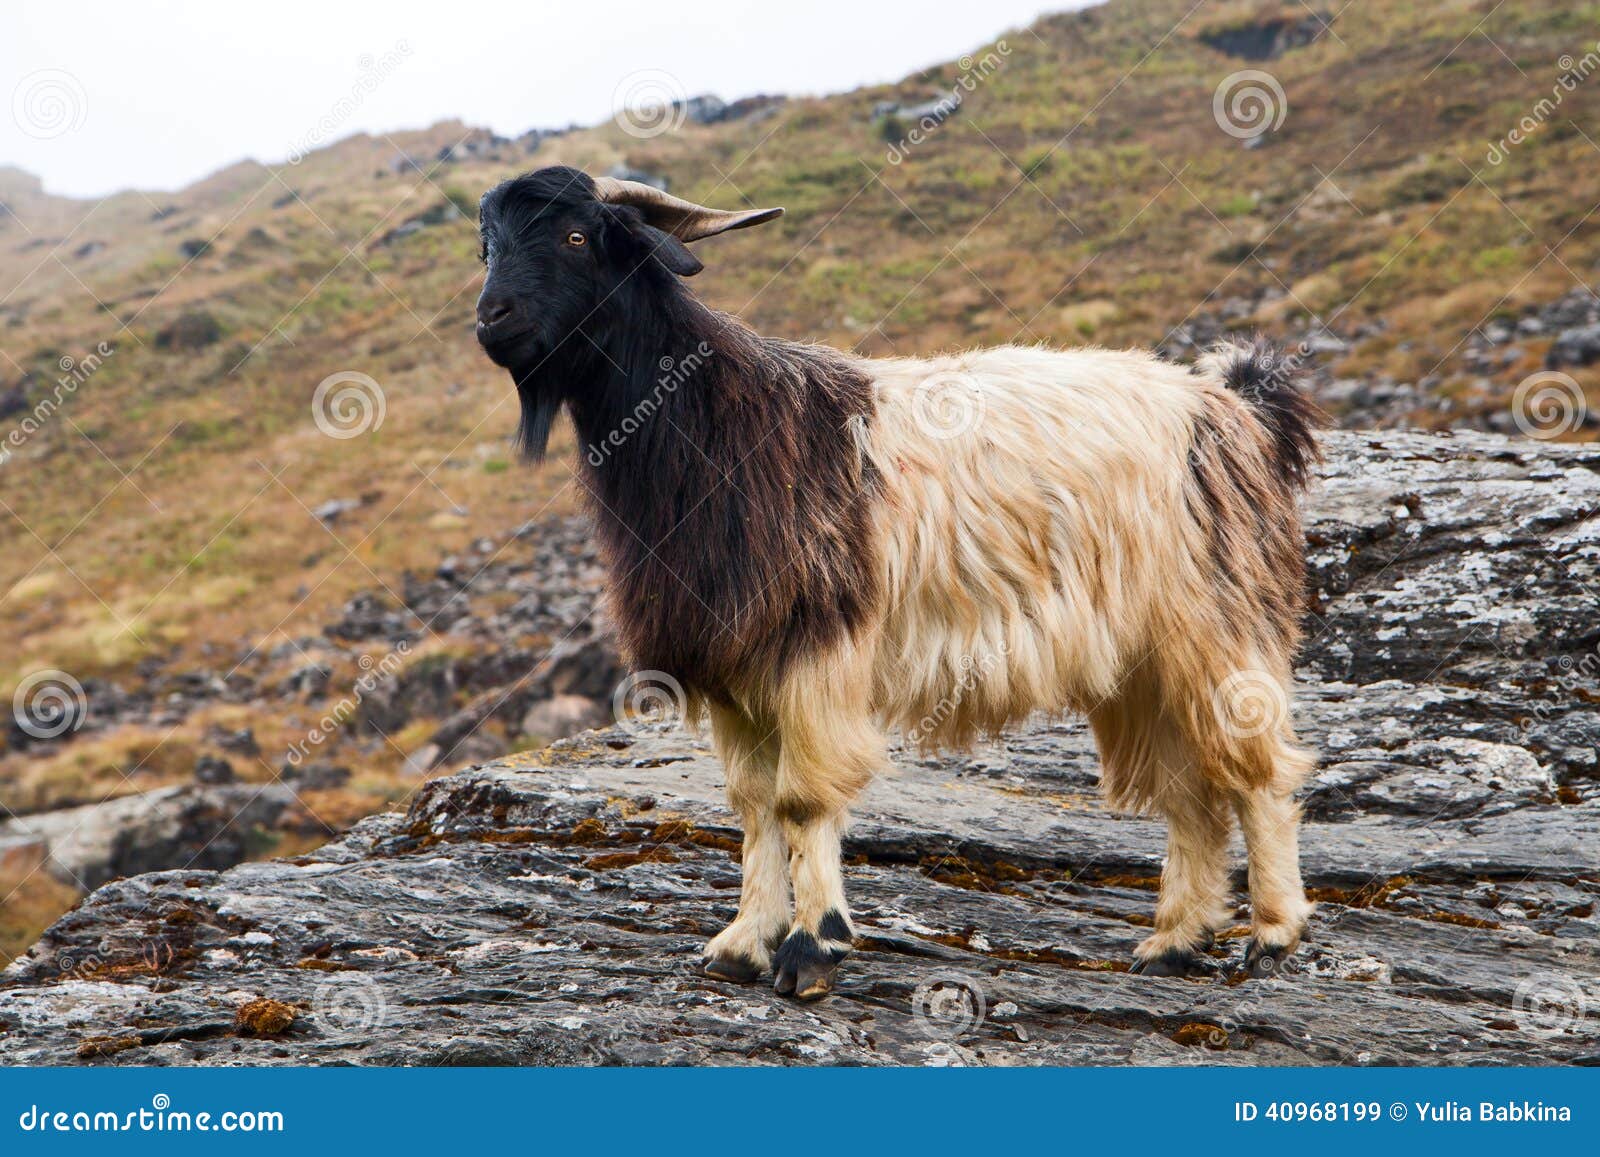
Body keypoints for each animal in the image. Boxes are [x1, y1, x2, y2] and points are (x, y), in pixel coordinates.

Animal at [473, 166, 1322, 999]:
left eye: (577, 237)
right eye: (488, 245)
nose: (491, 319)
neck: (713, 418)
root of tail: (1236, 410)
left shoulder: (815, 646)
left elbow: (802, 799)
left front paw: (811, 948)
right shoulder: (736, 666)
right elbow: (752, 804)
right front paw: (743, 942)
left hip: (1218, 627)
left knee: (1258, 768)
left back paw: (1274, 932)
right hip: (1142, 664)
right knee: (1190, 791)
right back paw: (1175, 940)